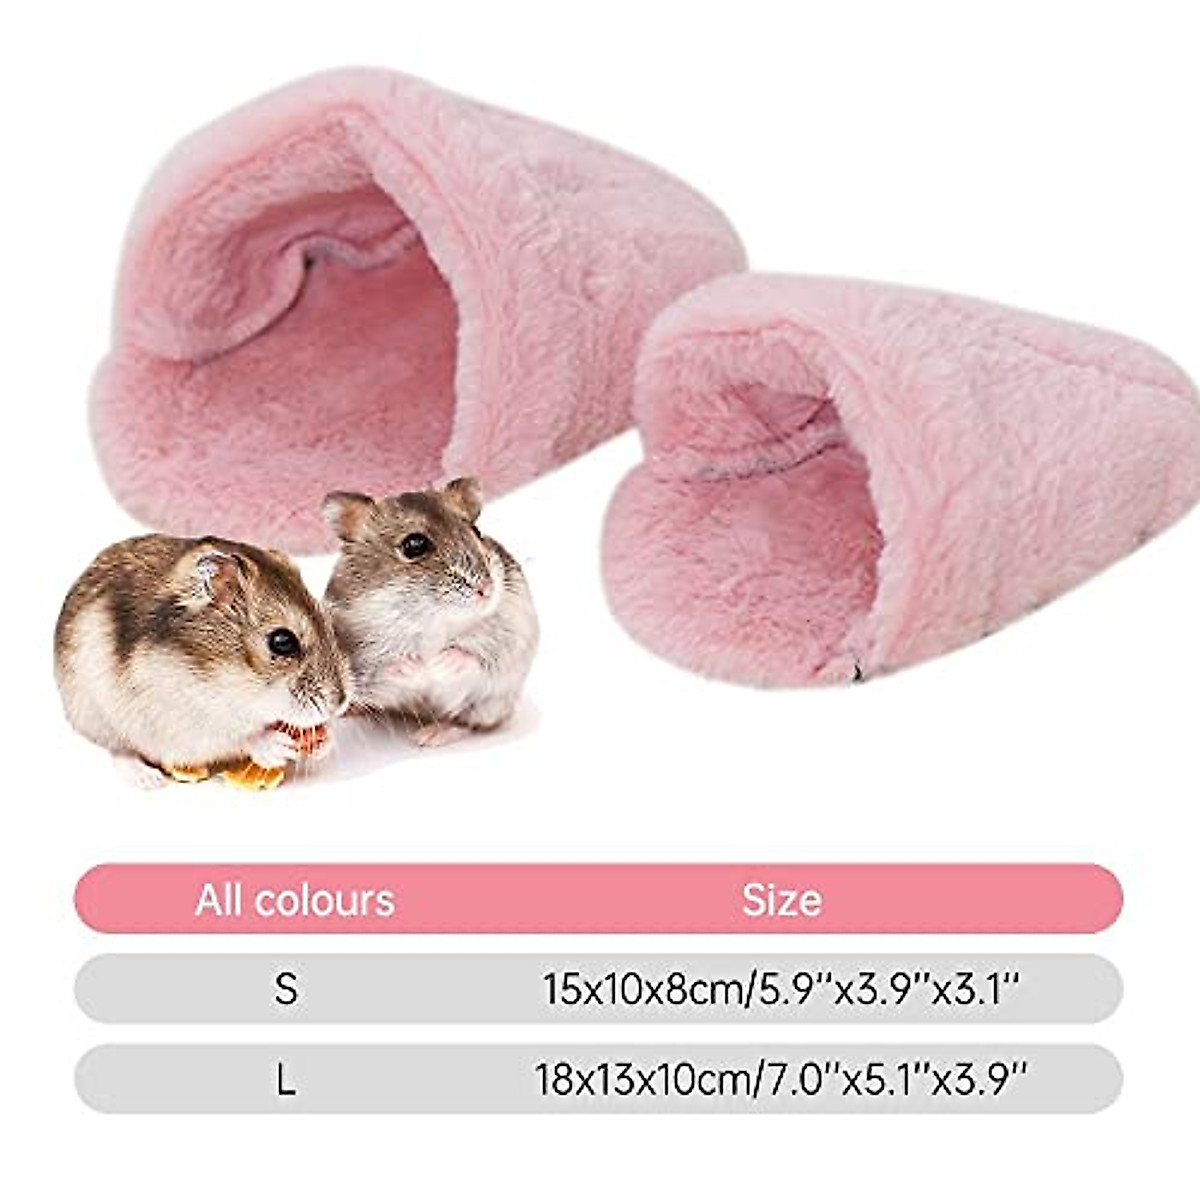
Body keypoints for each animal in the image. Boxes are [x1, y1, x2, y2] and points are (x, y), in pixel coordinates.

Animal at [54, 535, 350, 788]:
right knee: (120, 749)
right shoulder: (188, 720)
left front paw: (325, 741)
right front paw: (277, 744)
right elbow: (240, 737)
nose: (341, 703)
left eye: (327, 622)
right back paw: (149, 780)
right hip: (99, 716)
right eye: (282, 641)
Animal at [323, 478, 538, 744]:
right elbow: (385, 667)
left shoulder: (509, 636)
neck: (431, 617)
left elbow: (472, 655)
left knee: (468, 723)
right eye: (414, 545)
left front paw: (437, 663)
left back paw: (429, 736)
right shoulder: (359, 660)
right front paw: (419, 667)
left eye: (476, 533)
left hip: (489, 705)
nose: (486, 590)